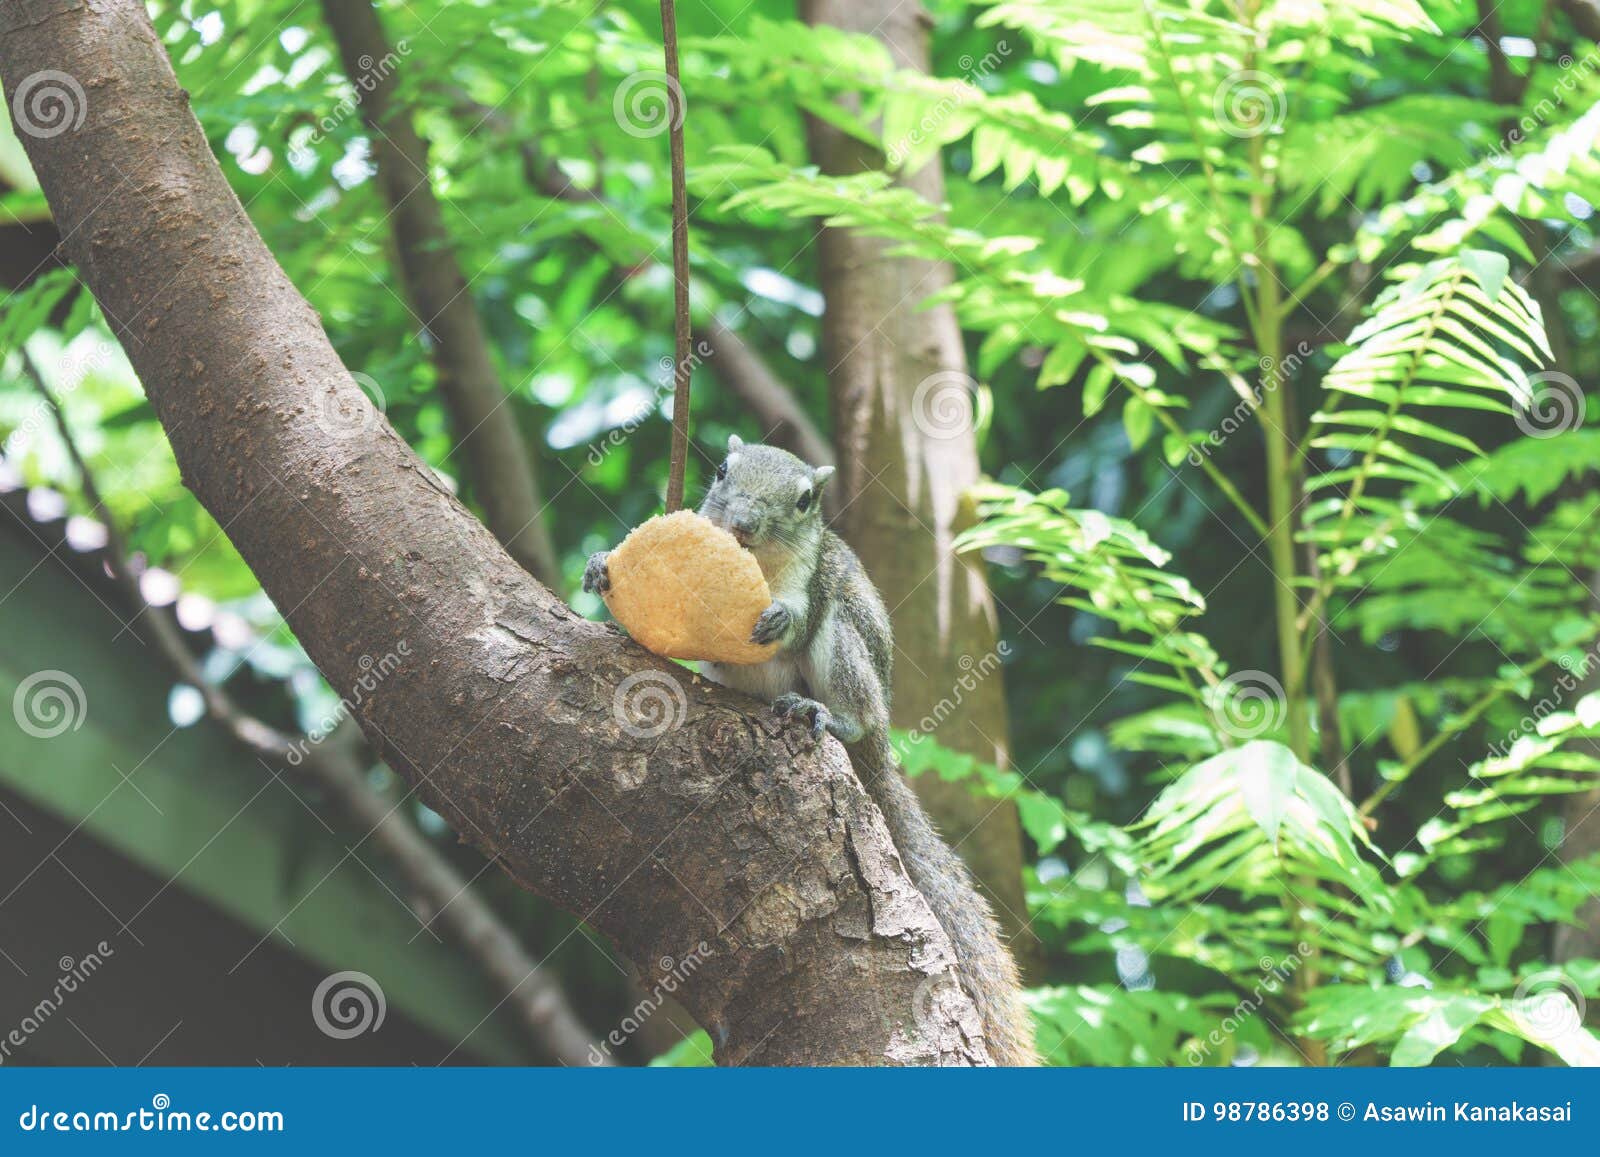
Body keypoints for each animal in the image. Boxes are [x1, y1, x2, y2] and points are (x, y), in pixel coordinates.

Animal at [584, 435, 1036, 1066]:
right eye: (721, 471)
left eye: (804, 502)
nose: (743, 524)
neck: (763, 564)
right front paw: (602, 566)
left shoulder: (810, 579)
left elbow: (798, 617)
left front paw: (779, 618)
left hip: (848, 653)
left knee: (848, 687)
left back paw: (827, 715)